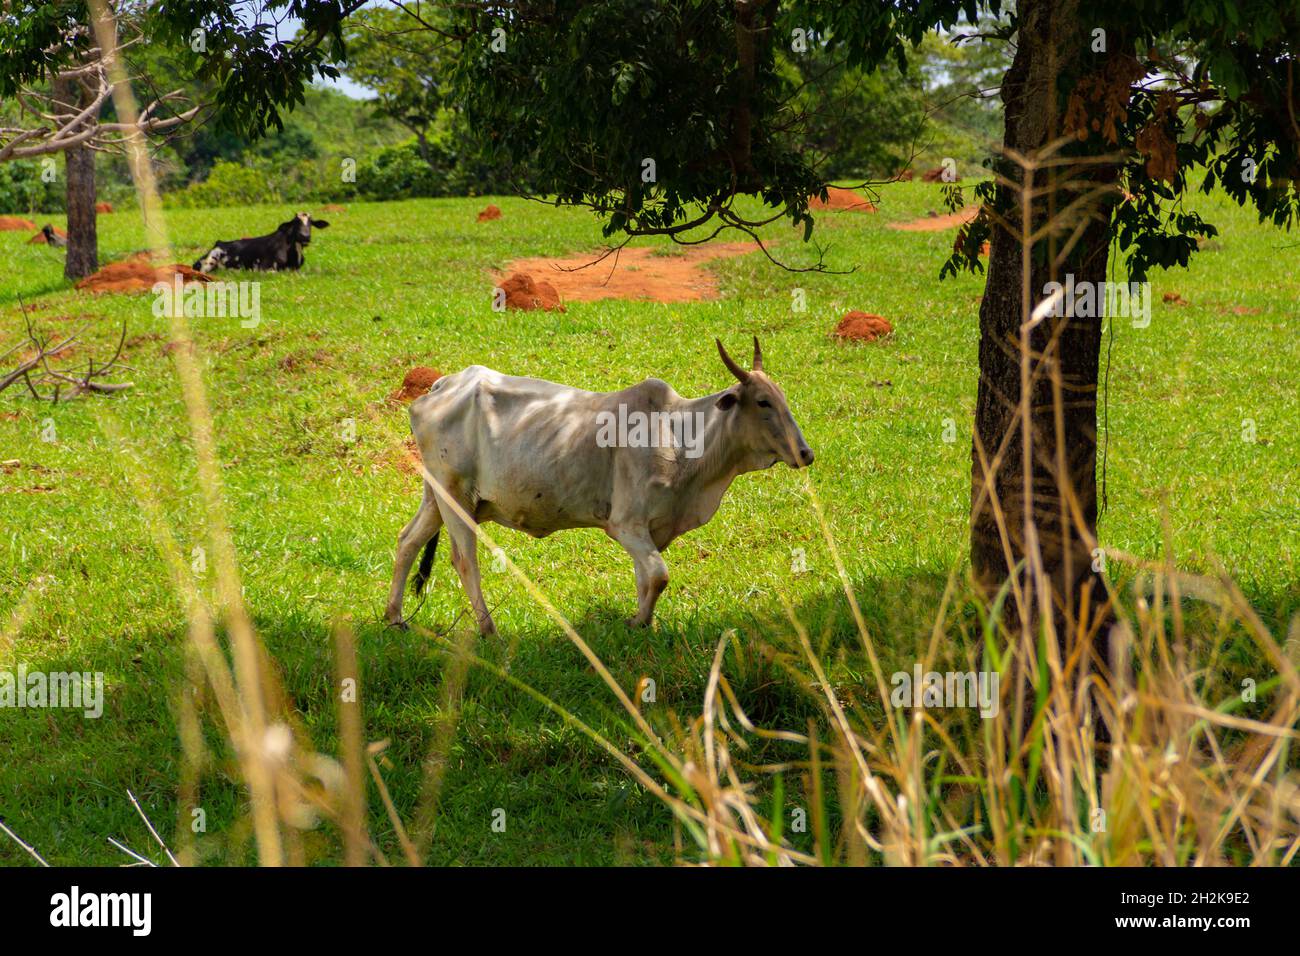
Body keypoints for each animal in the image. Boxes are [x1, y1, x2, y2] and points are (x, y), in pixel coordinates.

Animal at [192, 212, 328, 273]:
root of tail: (219, 242)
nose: (305, 236)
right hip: (208, 263)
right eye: (295, 222)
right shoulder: (265, 268)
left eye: (311, 223)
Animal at [385, 338, 814, 635]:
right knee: (464, 559)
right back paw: (488, 629)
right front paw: (637, 622)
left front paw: (642, 622)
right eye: (762, 402)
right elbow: (658, 574)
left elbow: (645, 578)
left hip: (439, 497)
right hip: (455, 497)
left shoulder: (650, 529)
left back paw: (395, 617)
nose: (805, 453)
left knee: (407, 540)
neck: (681, 436)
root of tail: (441, 386)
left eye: (782, 398)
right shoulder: (626, 523)